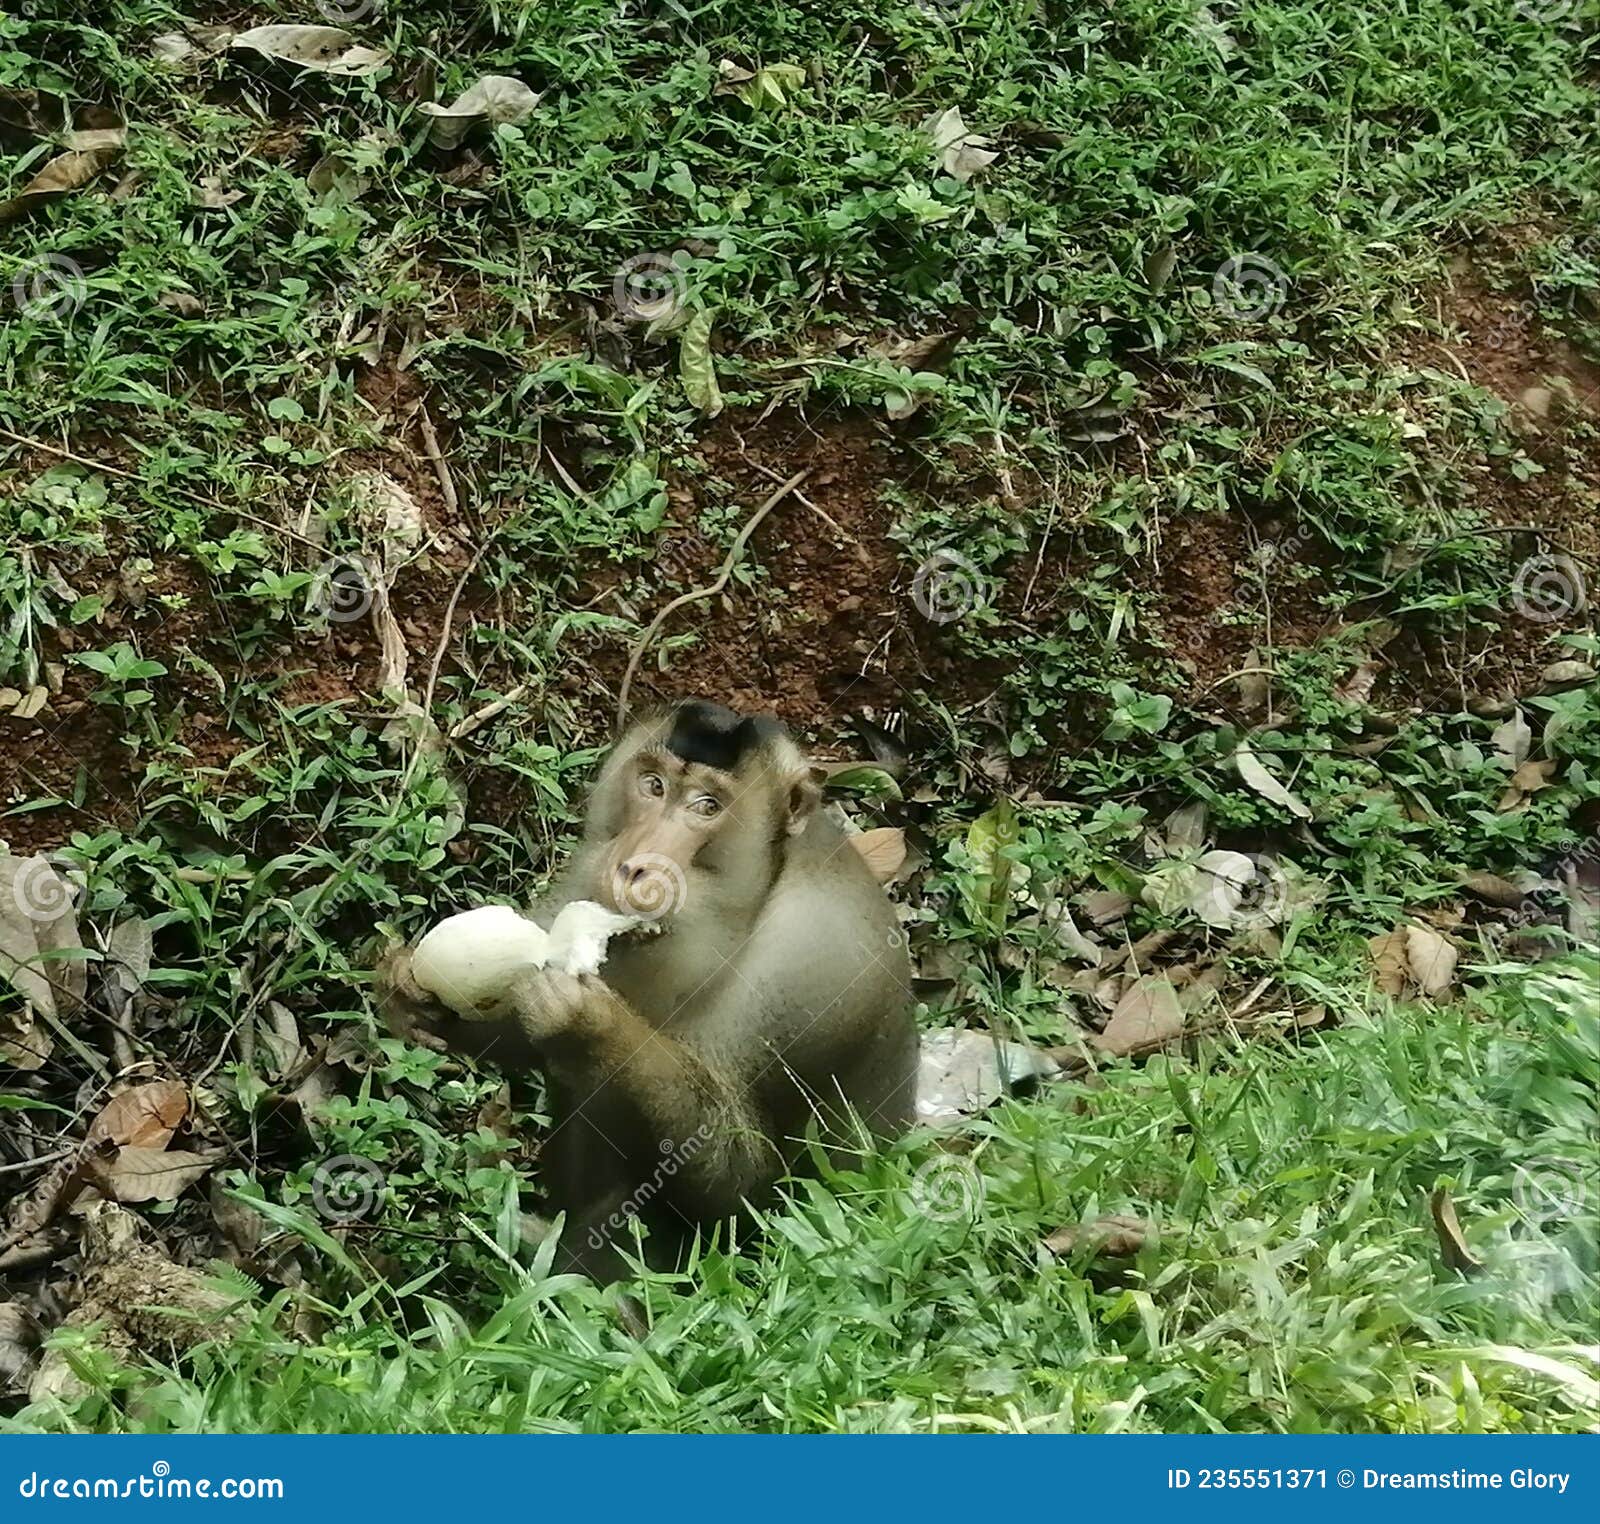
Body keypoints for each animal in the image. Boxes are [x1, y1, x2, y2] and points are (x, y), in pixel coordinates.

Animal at [377, 700, 917, 1283]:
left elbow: (747, 1198)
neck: (748, 908)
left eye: (707, 805)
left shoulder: (811, 963)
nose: (634, 867)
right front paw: (412, 994)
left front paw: (590, 1023)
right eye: (653, 785)